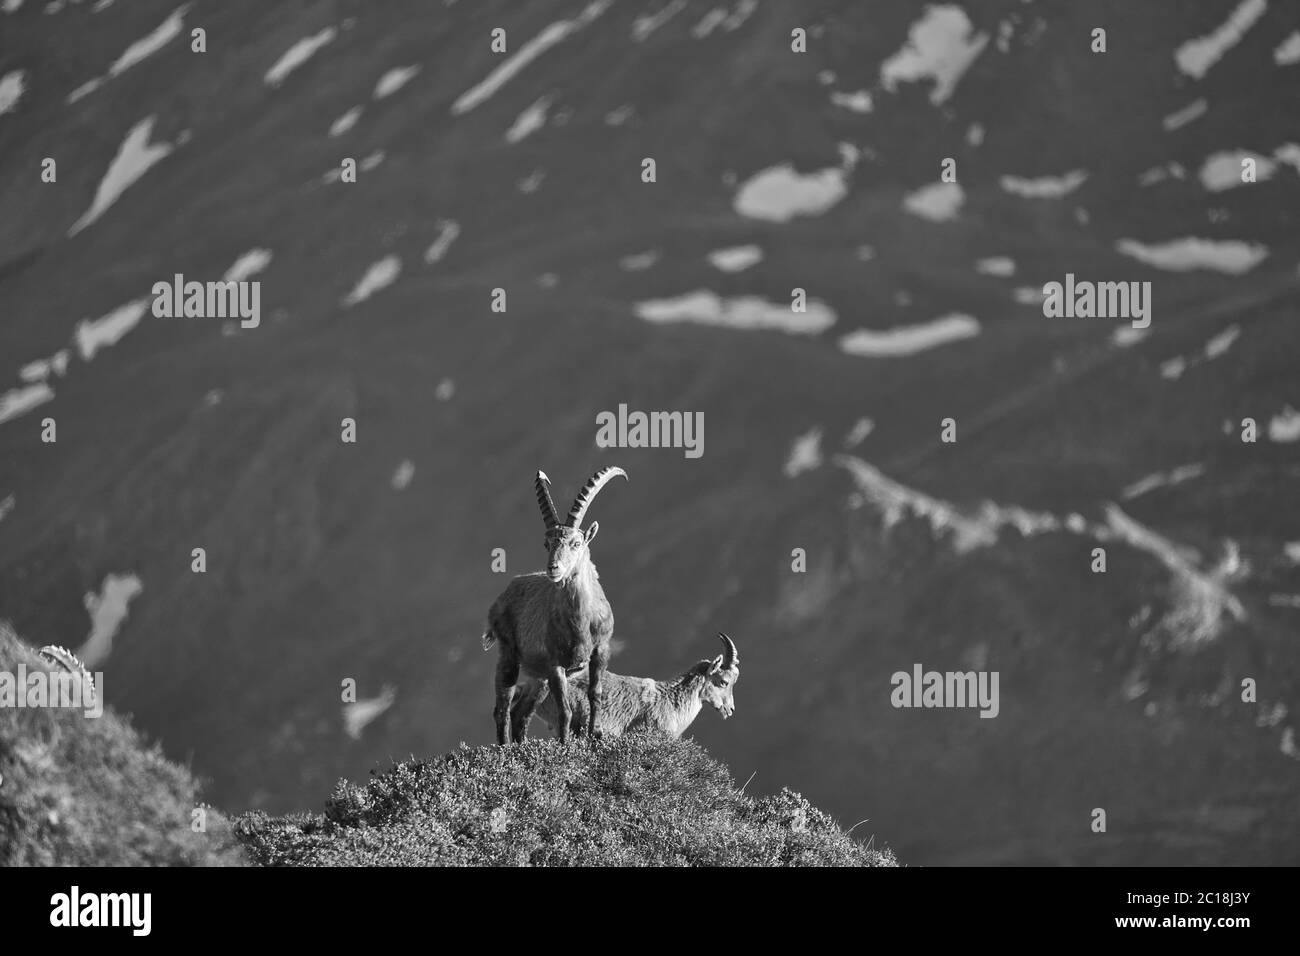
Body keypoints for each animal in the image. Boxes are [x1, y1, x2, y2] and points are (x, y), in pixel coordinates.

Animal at [483, 466, 627, 745]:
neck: (582, 621)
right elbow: (565, 711)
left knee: (520, 714)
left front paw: (593, 736)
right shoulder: (555, 664)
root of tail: (504, 594)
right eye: (547, 543)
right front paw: (564, 745)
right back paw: (504, 749)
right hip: (510, 656)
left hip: (538, 678)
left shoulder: (600, 651)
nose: (553, 569)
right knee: (502, 708)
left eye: (576, 543)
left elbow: (595, 695)